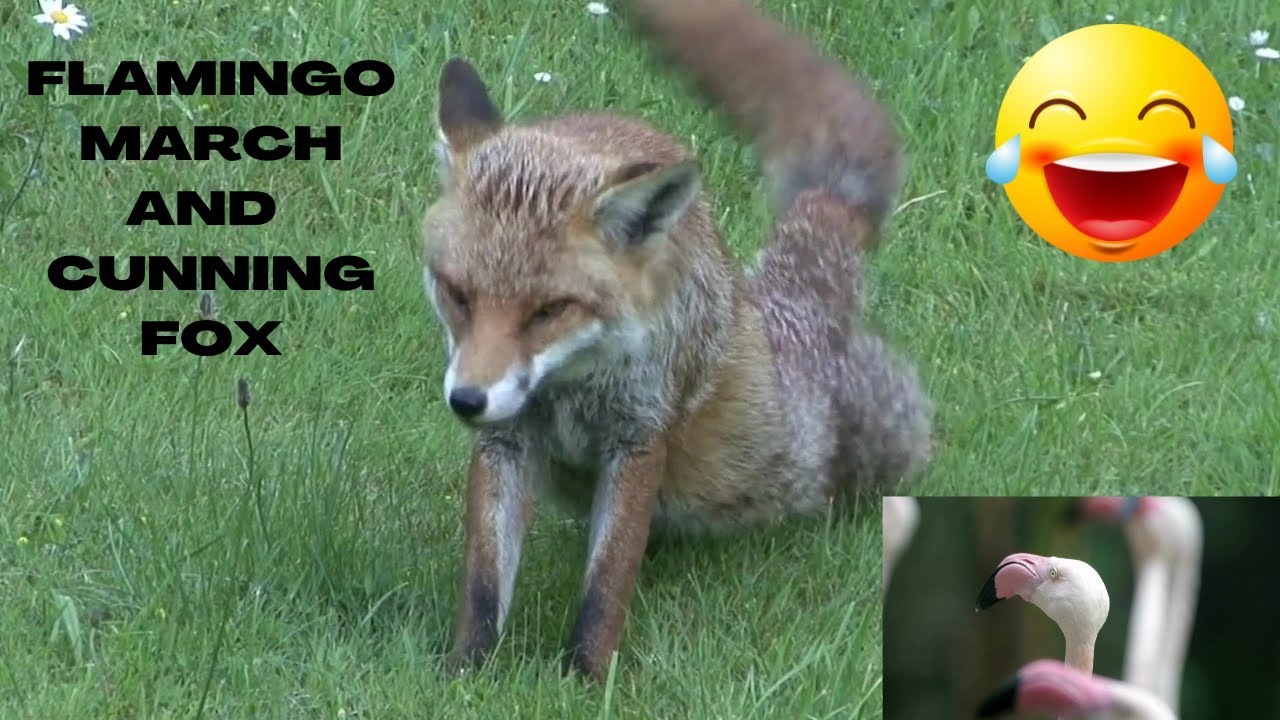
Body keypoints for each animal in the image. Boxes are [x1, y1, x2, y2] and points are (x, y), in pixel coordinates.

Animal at [419, 0, 932, 681]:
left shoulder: (640, 433)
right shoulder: (506, 436)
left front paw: (587, 680)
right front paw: (466, 673)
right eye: (457, 293)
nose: (467, 401)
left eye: (549, 310)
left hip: (846, 446)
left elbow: (607, 583)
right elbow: (482, 581)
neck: (570, 385)